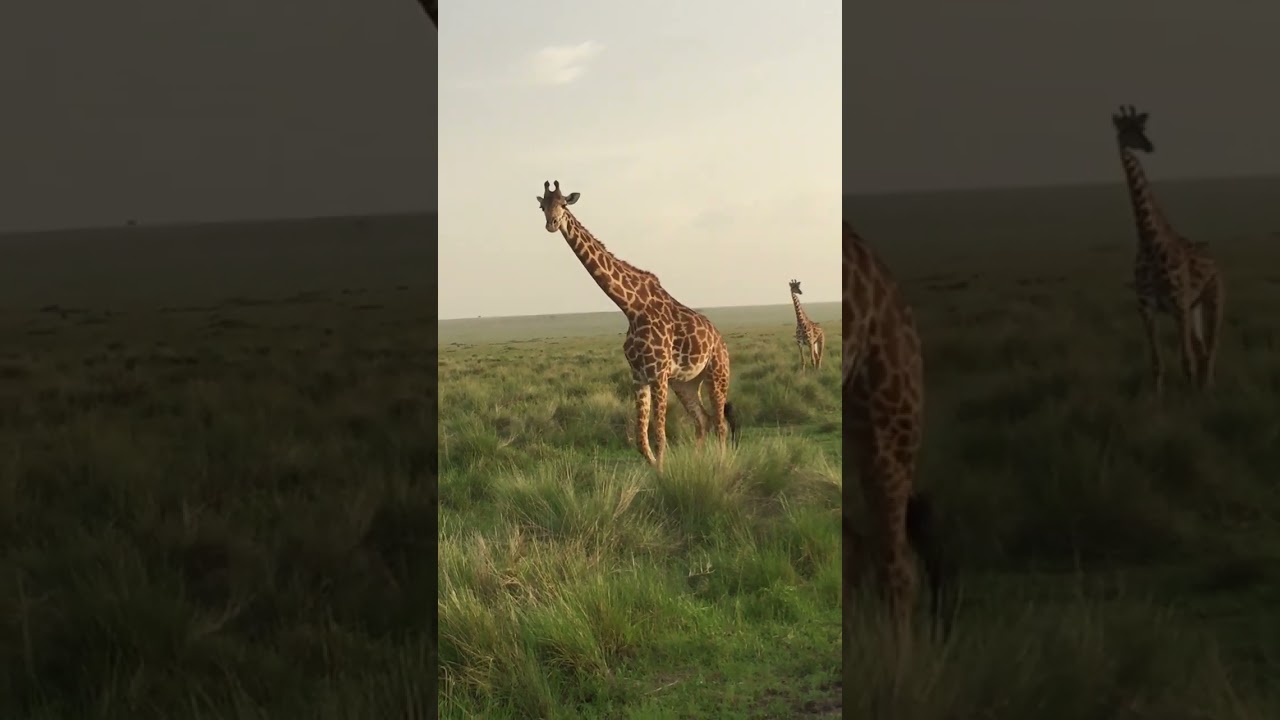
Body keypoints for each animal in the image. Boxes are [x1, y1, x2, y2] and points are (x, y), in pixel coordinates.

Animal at [536, 180, 740, 470]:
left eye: (564, 204)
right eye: (542, 206)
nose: (552, 223)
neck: (631, 308)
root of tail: (720, 340)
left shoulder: (658, 373)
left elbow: (659, 434)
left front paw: (665, 475)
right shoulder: (639, 376)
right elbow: (641, 439)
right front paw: (656, 469)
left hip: (717, 373)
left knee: (720, 423)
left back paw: (720, 465)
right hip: (686, 383)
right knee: (703, 419)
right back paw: (699, 463)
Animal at [1113, 105, 1224, 394]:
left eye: (1142, 128)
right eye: (1125, 129)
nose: (1149, 146)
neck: (1149, 240)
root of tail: (1215, 258)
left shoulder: (1178, 304)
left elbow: (1187, 361)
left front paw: (1189, 399)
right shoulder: (1147, 308)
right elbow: (1156, 363)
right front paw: (1156, 401)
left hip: (1213, 299)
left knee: (1211, 348)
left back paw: (1209, 389)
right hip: (1194, 307)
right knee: (1202, 349)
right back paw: (1205, 388)